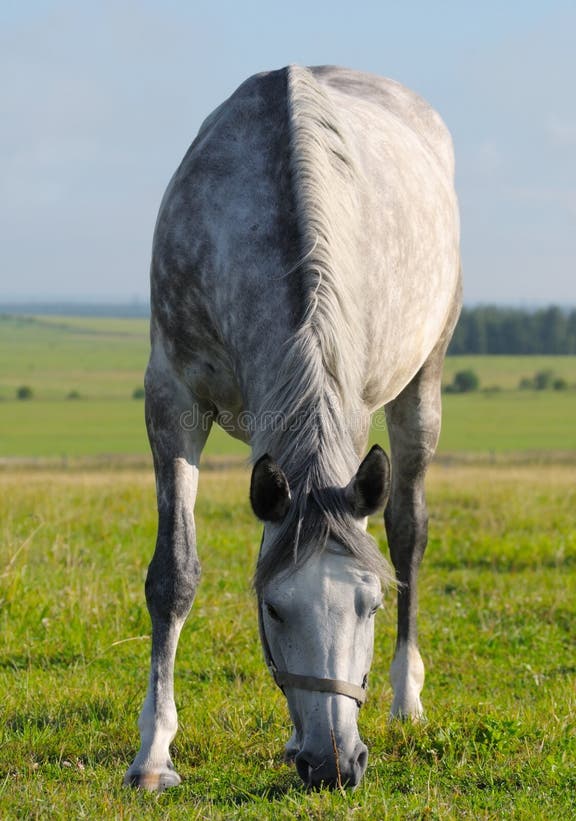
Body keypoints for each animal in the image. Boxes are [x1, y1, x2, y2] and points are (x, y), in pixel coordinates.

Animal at [124, 64, 461, 791]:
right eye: (275, 609)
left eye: (371, 606)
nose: (335, 763)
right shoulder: (171, 400)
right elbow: (174, 574)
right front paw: (154, 754)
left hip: (422, 384)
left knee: (407, 532)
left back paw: (406, 699)